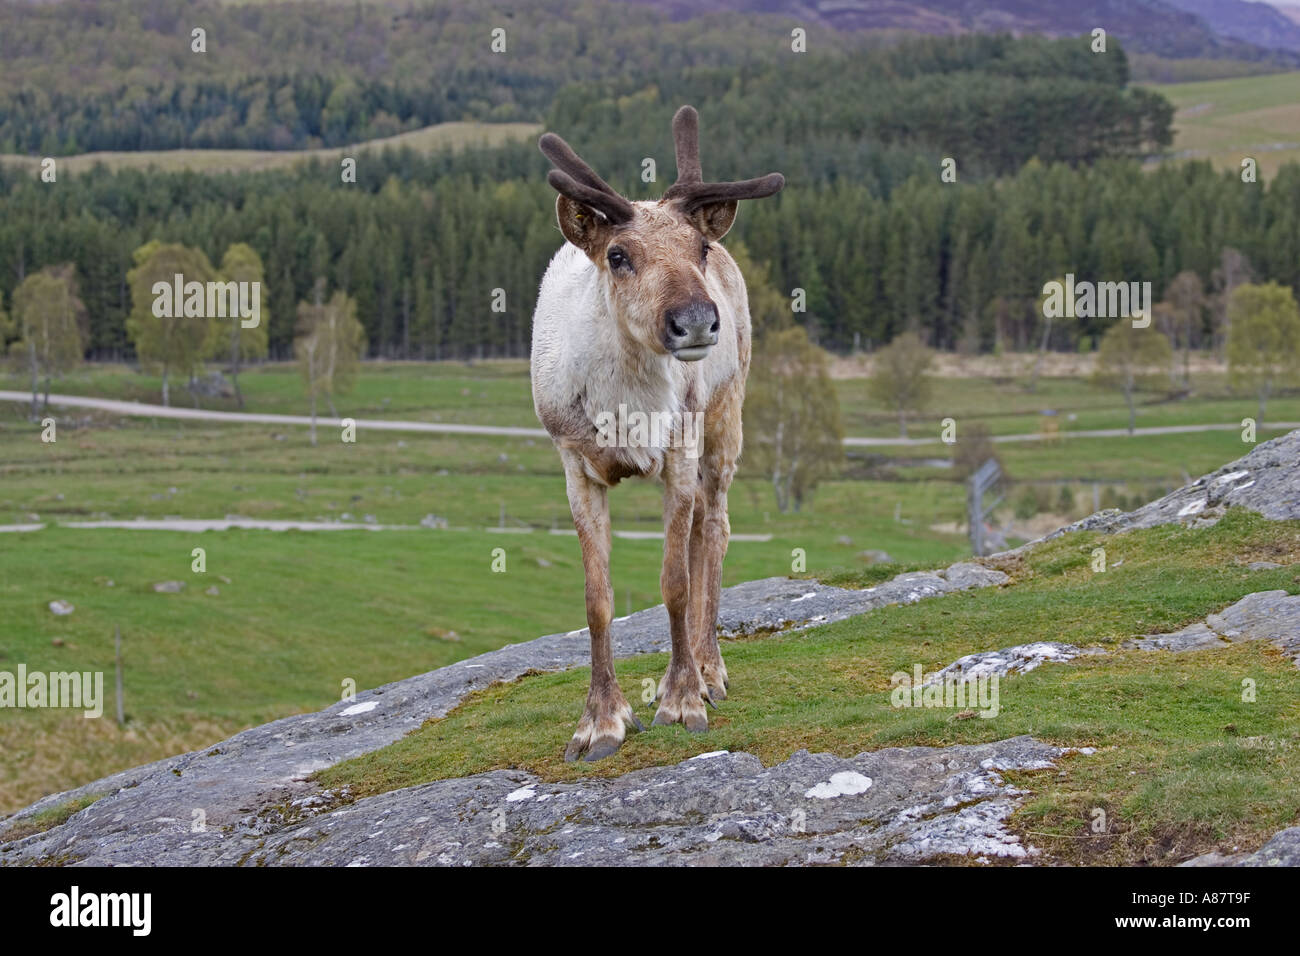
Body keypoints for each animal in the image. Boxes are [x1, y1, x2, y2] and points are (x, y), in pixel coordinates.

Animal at [530, 105, 784, 761]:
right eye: (618, 255)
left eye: (698, 247)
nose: (695, 320)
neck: (625, 408)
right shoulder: (574, 463)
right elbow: (597, 600)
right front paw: (600, 722)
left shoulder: (677, 448)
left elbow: (674, 582)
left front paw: (683, 700)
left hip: (724, 420)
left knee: (713, 531)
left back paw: (709, 668)